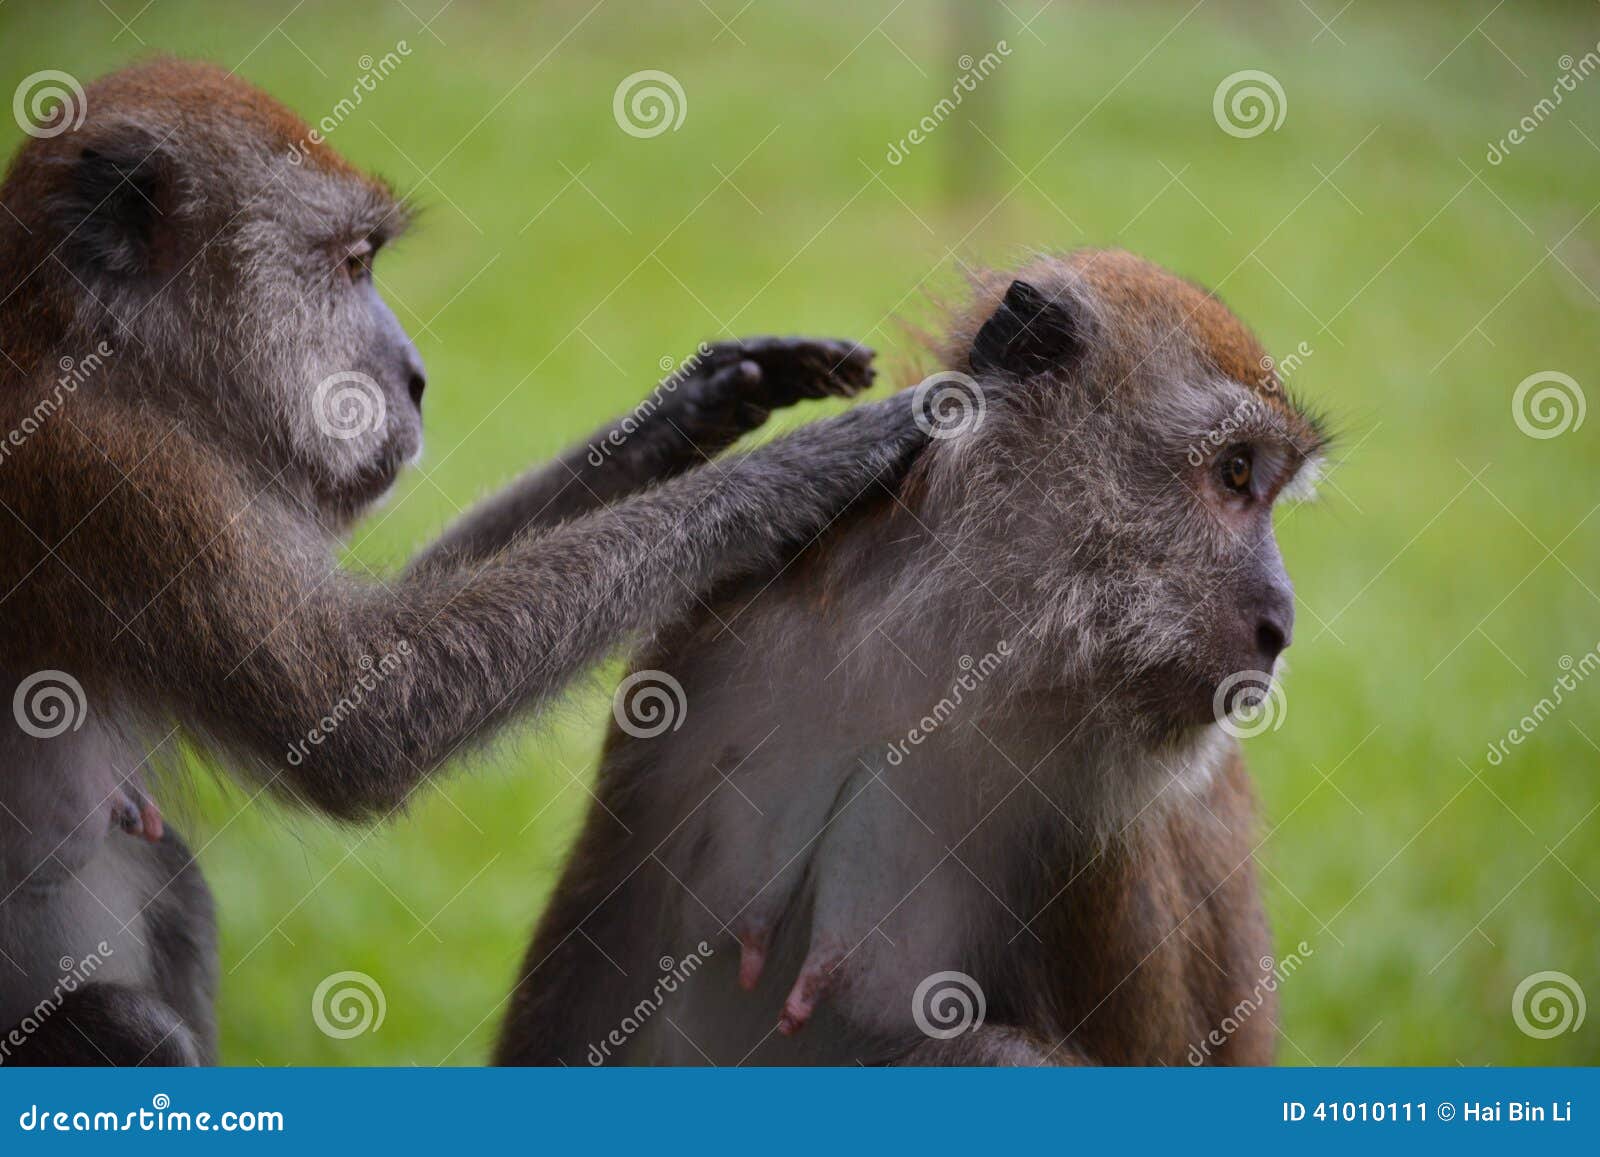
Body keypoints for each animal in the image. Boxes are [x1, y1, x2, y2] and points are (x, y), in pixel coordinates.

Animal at [0, 59, 930, 1065]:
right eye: (352, 263)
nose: (415, 377)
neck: (100, 353)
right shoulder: (124, 478)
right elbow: (364, 715)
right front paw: (787, 477)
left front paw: (690, 409)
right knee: (132, 1023)